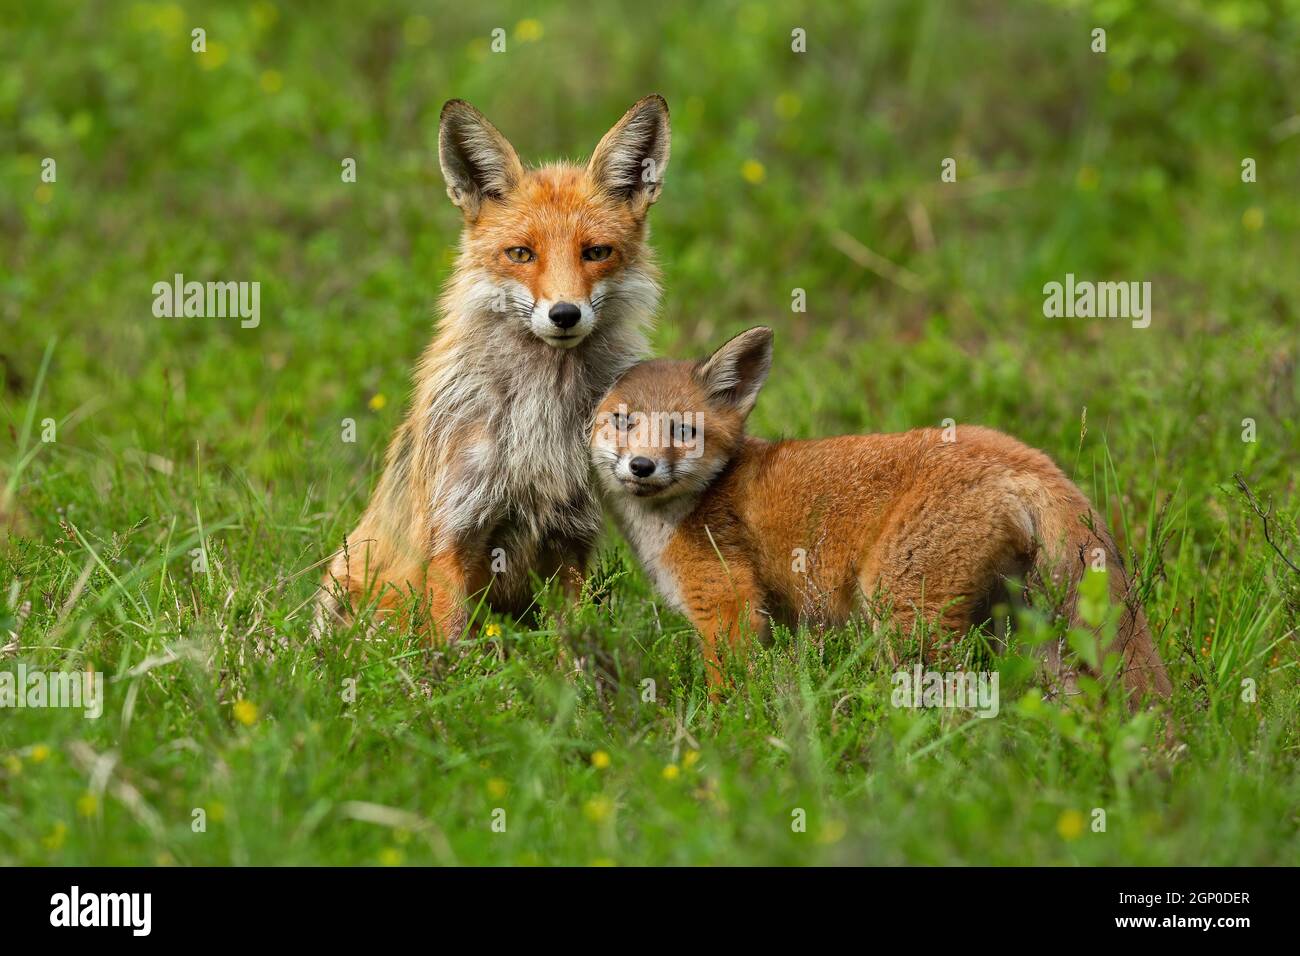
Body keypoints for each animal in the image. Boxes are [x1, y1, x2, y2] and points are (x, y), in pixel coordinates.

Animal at [317, 95, 671, 638]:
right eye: (521, 253)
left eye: (596, 252)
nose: (564, 314)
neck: (542, 420)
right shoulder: (455, 528)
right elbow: (448, 642)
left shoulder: (571, 536)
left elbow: (574, 643)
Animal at [589, 326, 1174, 703]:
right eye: (621, 421)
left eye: (684, 431)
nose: (641, 466)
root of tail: (1024, 457)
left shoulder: (728, 608)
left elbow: (729, 695)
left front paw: (724, 743)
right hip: (1031, 628)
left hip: (901, 611)